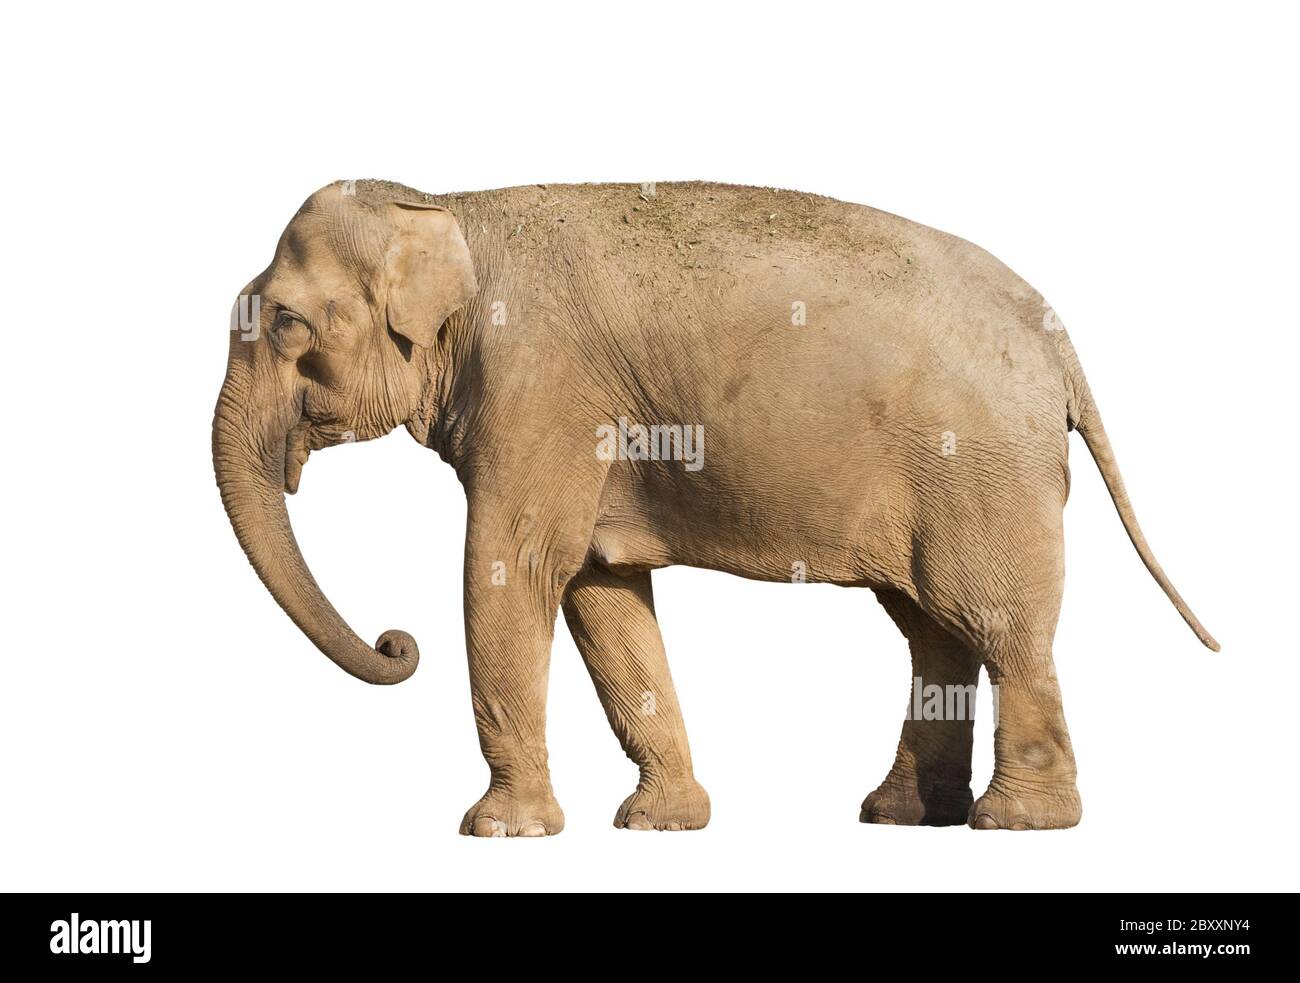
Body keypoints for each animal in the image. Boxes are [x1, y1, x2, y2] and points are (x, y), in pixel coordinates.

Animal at [213, 179, 1217, 836]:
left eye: (290, 324)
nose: (396, 642)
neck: (445, 204)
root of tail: (1060, 342)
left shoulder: (538, 388)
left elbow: (510, 565)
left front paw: (498, 831)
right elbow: (599, 590)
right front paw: (661, 822)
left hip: (982, 468)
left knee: (999, 622)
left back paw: (1016, 824)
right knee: (934, 627)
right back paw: (902, 816)